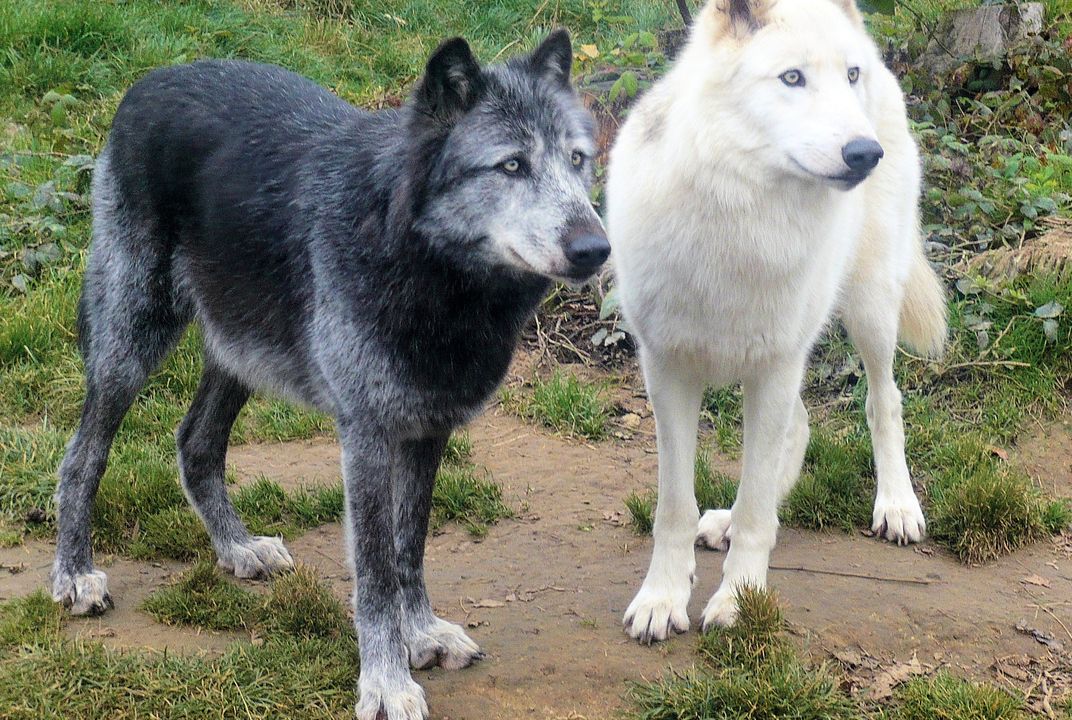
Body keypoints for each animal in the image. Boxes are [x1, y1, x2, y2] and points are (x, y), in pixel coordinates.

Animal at [50, 31, 607, 719]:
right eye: (511, 166)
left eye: (578, 160)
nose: (596, 248)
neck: (429, 271)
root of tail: (149, 81)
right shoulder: (365, 437)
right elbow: (375, 570)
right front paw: (387, 682)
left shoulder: (427, 431)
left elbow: (408, 548)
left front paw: (421, 635)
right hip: (130, 347)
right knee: (82, 457)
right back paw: (75, 575)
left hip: (243, 351)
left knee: (194, 442)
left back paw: (236, 549)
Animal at [606, 0, 947, 641]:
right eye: (792, 78)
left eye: (848, 76)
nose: (864, 153)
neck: (742, 218)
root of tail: (888, 69)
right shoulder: (668, 375)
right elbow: (673, 508)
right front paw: (663, 598)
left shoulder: (774, 367)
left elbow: (759, 507)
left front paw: (739, 602)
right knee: (801, 427)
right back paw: (723, 522)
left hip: (867, 311)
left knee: (883, 402)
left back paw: (897, 506)